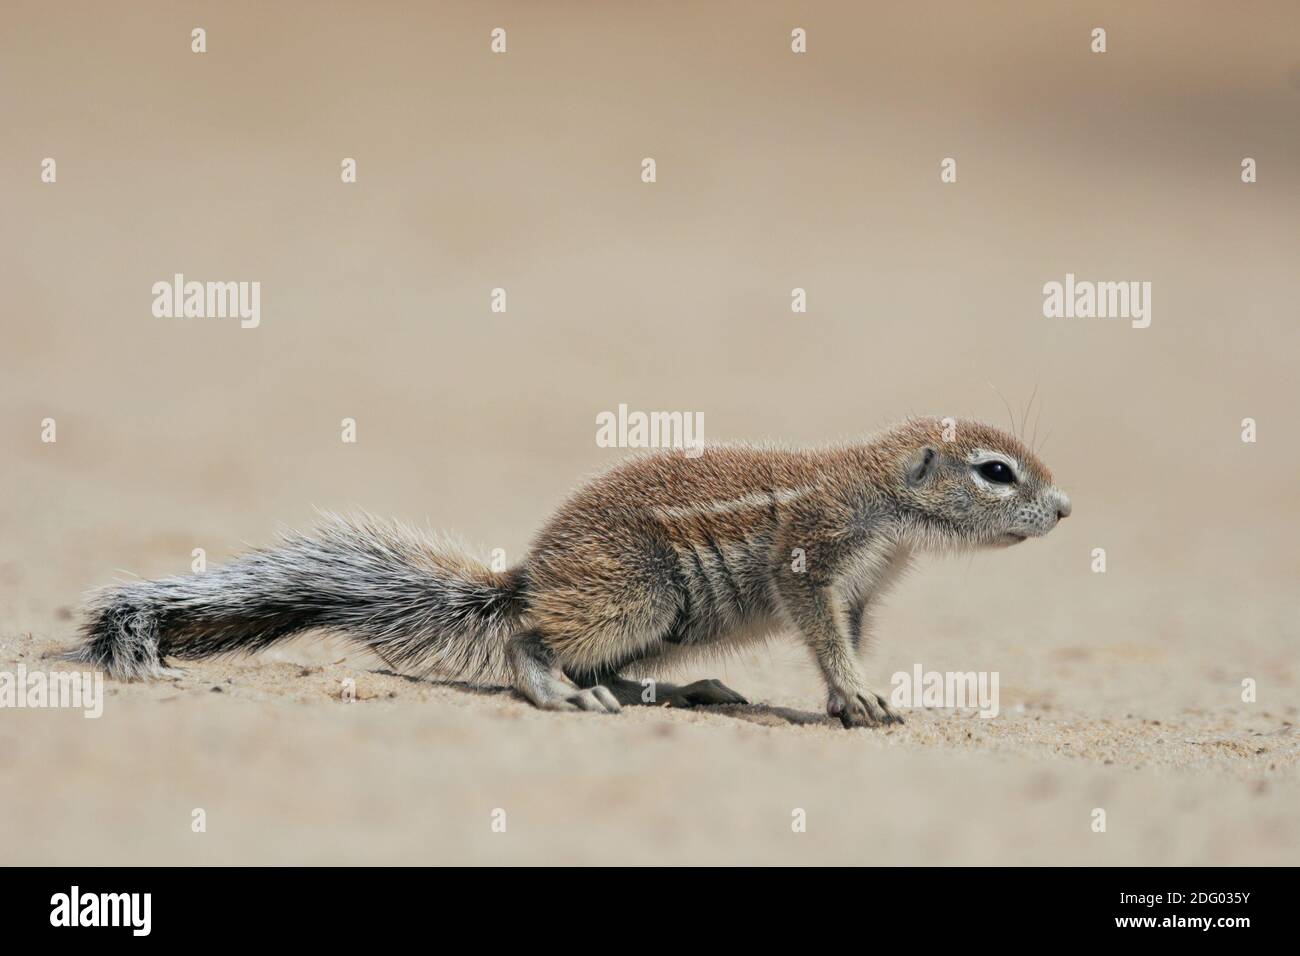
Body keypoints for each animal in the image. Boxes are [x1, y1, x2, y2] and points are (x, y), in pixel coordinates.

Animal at [70, 417, 1070, 728]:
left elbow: (844, 642)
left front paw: (854, 695)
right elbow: (819, 628)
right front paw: (856, 695)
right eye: (996, 472)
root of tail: (530, 574)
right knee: (531, 638)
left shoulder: (859, 588)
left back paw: (679, 691)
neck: (881, 499)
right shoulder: (813, 560)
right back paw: (558, 688)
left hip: (668, 620)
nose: (1064, 512)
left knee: (609, 664)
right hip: (637, 594)